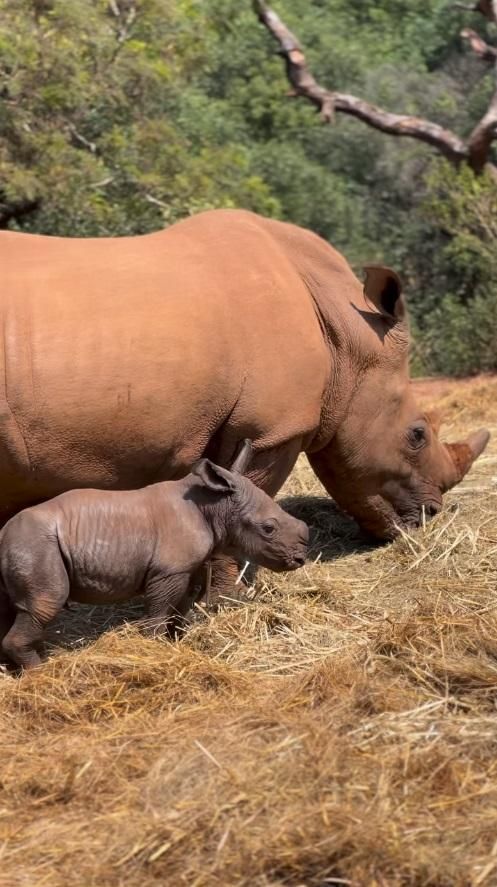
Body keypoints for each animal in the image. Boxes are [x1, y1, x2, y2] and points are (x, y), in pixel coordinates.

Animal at [0, 209, 489, 597]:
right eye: (417, 435)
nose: (429, 517)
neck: (348, 342)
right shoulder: (272, 429)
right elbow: (248, 502)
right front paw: (227, 603)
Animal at [0, 442, 309, 669]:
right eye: (268, 528)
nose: (301, 558)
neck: (214, 505)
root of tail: (3, 534)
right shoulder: (168, 571)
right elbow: (160, 612)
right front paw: (154, 647)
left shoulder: (187, 567)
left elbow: (181, 609)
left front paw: (178, 642)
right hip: (36, 545)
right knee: (44, 603)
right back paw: (39, 671)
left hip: (25, 546)